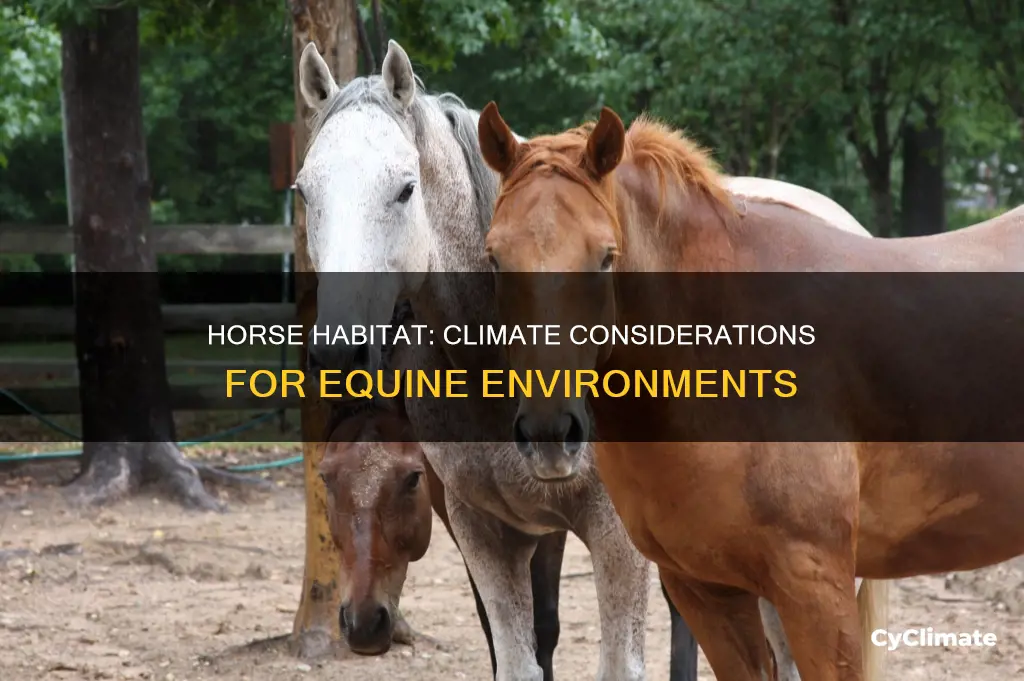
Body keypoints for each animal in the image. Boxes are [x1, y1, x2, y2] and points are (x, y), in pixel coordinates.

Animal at [295, 39, 694, 681]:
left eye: (405, 189)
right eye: (305, 192)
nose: (340, 349)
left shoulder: (615, 535)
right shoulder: (487, 531)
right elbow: (522, 654)